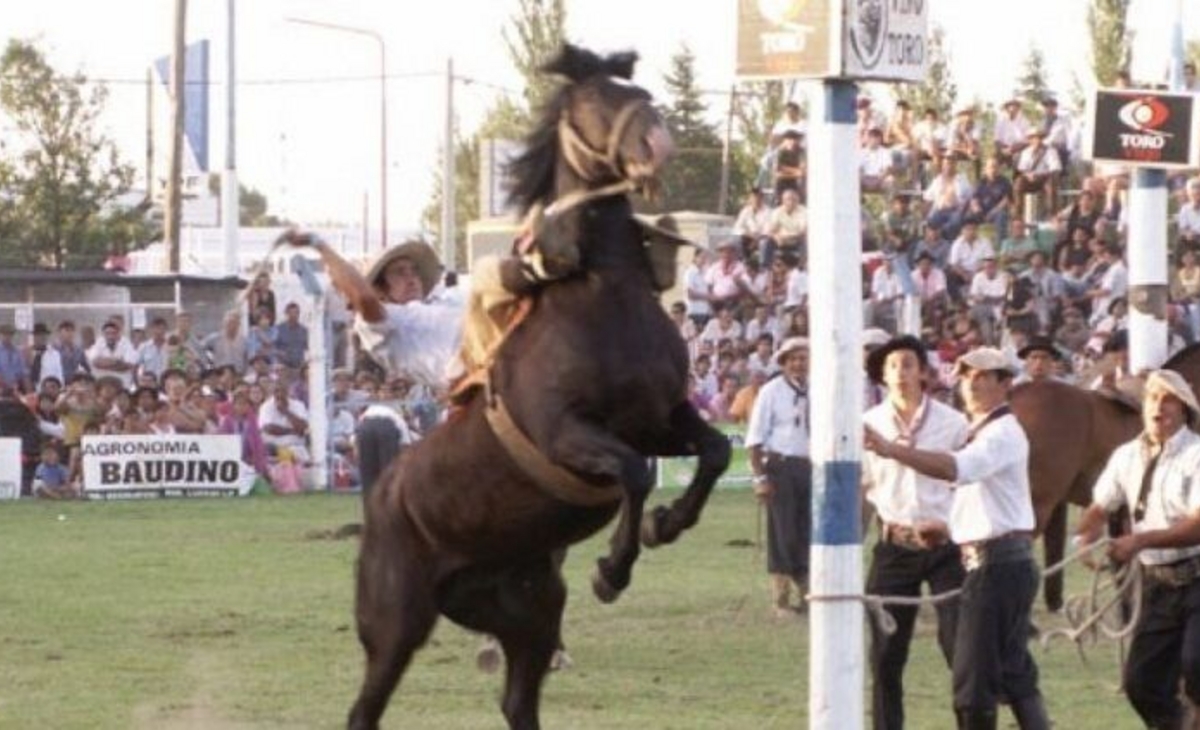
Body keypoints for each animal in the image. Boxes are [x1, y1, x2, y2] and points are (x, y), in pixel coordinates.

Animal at [347, 45, 731, 730]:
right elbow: (633, 473)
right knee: (366, 708)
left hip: (530, 613)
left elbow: (715, 450)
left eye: (642, 92)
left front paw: (666, 524)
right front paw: (612, 569)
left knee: (517, 701)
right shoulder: (566, 432)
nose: (658, 143)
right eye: (596, 99)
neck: (603, 300)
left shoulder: (663, 417)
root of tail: (383, 496)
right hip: (394, 626)